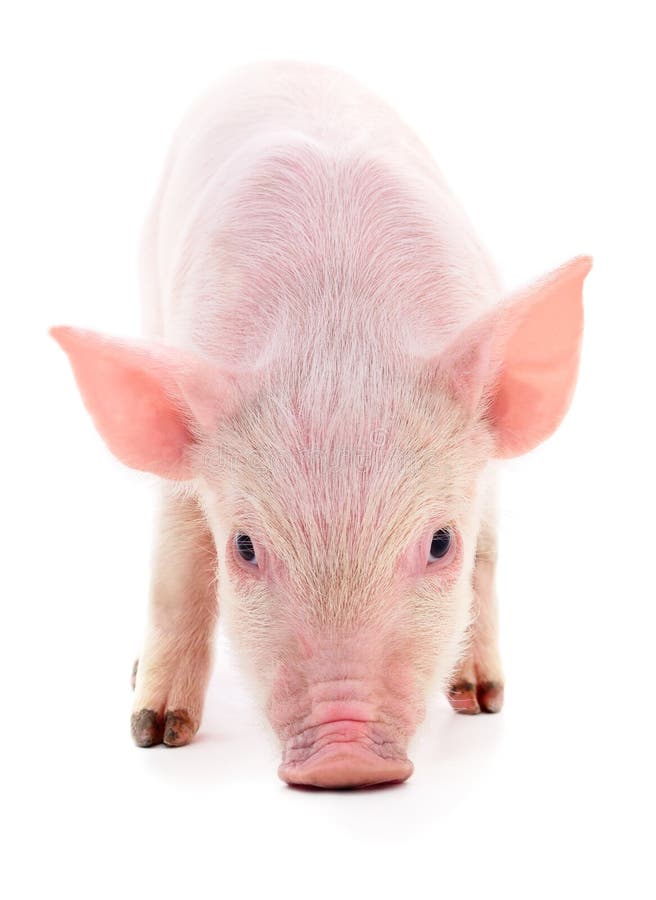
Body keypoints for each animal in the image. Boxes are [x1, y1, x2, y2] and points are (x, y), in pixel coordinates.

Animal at [51, 61, 591, 788]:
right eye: (244, 548)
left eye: (439, 542)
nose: (345, 759)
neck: (339, 339)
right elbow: (177, 576)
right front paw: (156, 737)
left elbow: (486, 556)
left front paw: (483, 704)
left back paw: (479, 698)